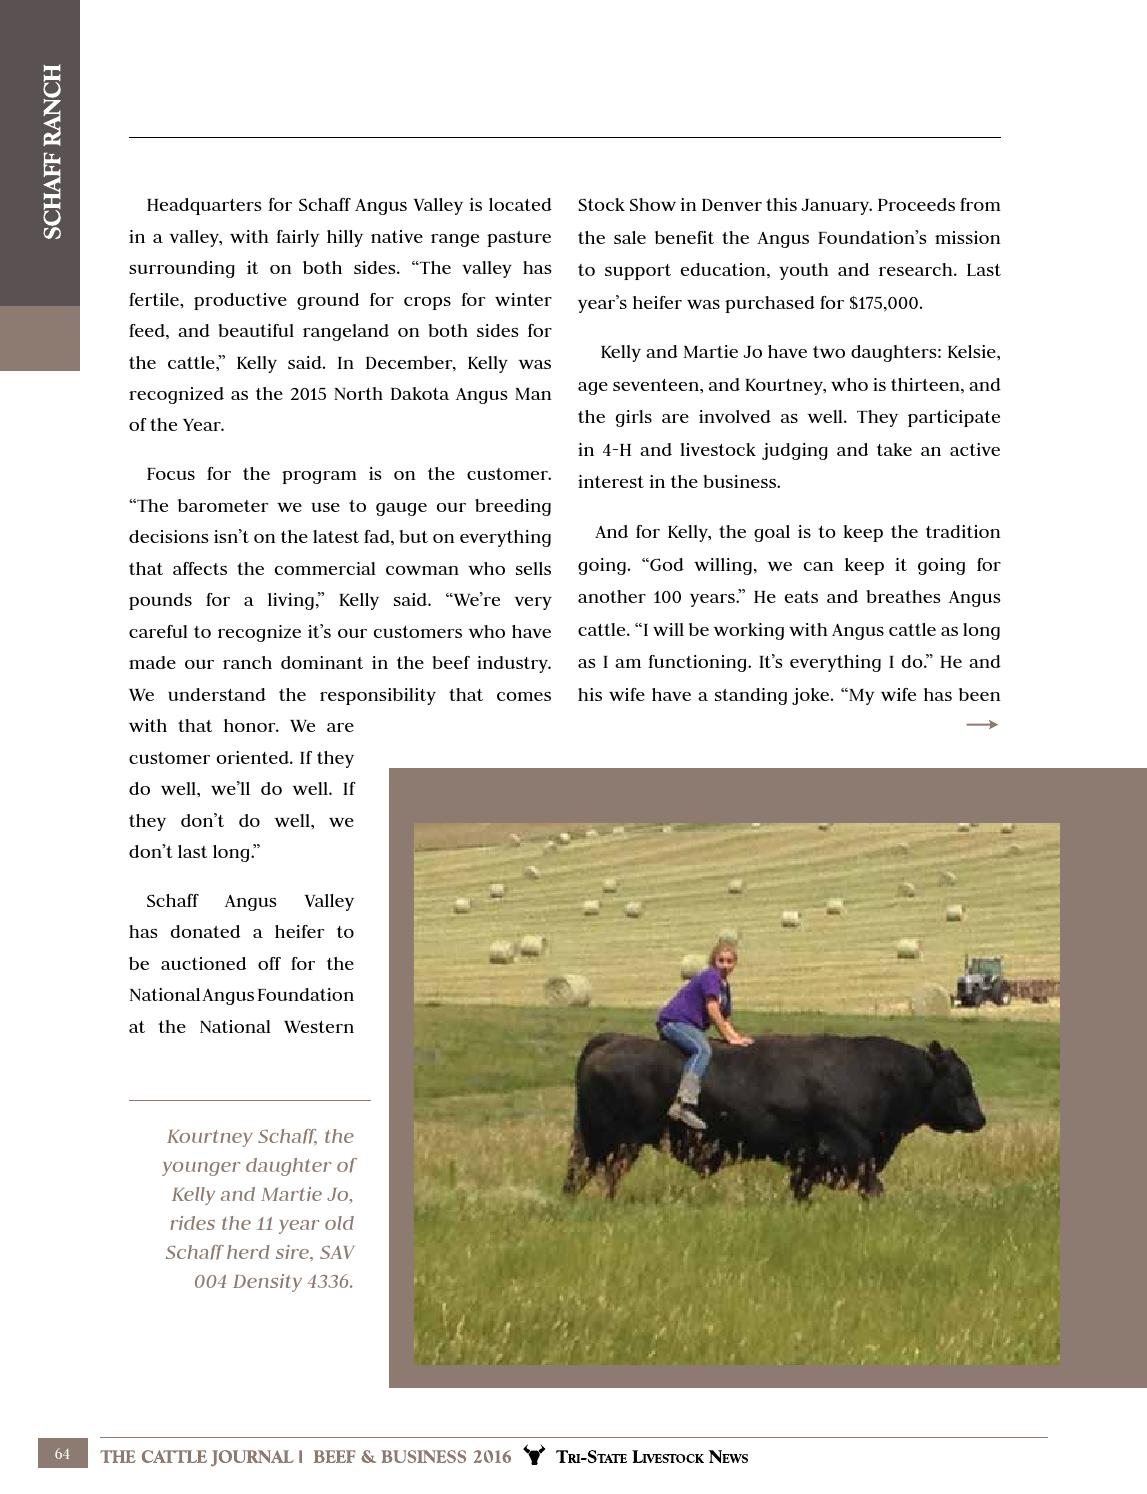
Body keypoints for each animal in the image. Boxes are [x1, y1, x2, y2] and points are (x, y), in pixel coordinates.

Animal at [564, 1031, 986, 1201]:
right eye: (961, 1082)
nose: (979, 1119)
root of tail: (612, 1039)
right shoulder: (853, 1155)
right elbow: (874, 1189)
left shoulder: (807, 1166)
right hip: (617, 1144)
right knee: (600, 1177)